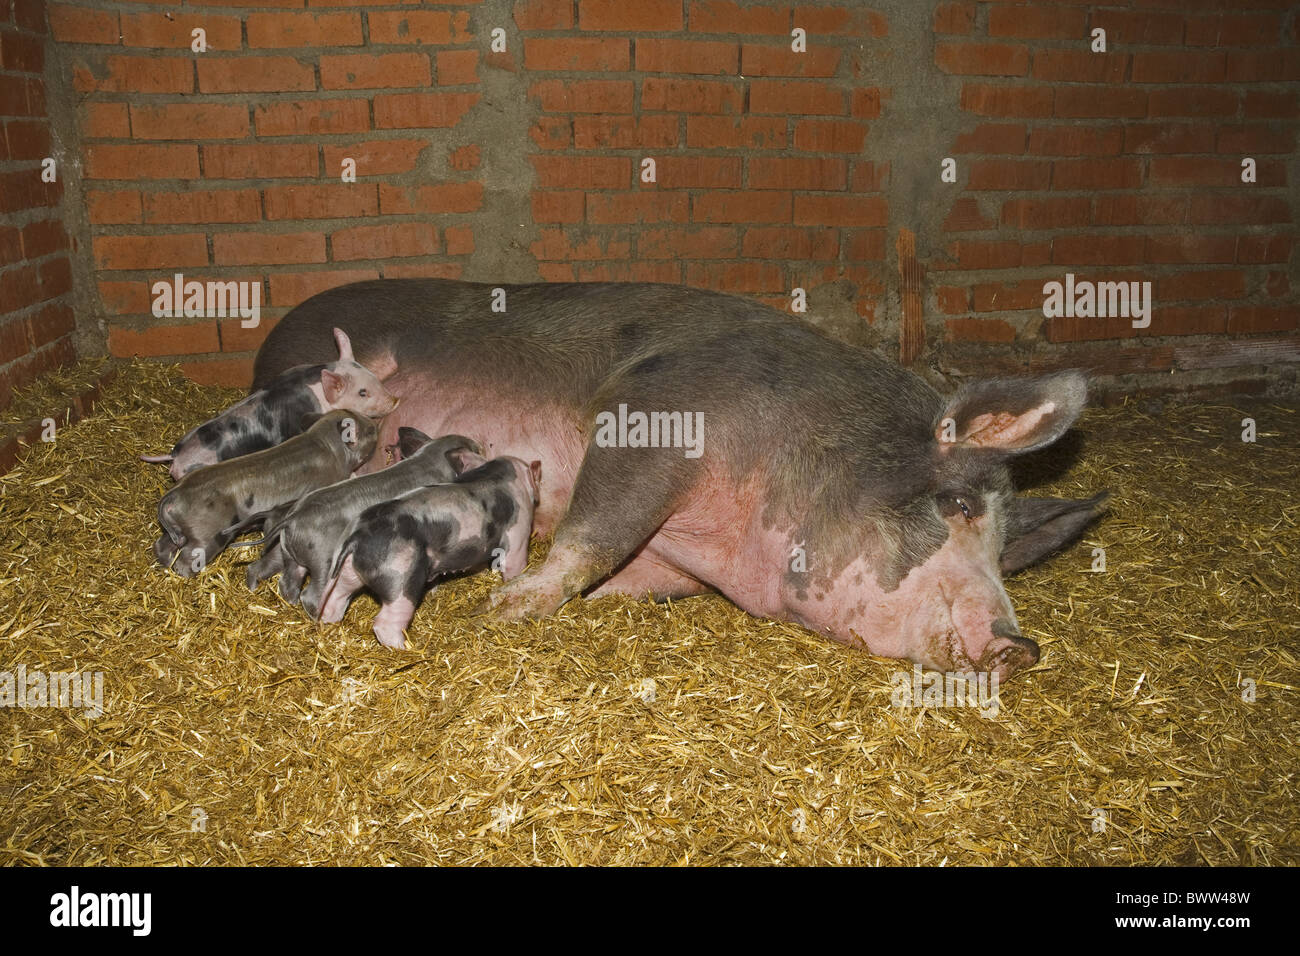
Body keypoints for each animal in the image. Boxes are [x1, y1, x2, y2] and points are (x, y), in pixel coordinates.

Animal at [154, 409, 378, 577]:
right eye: (368, 431)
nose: (375, 424)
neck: (328, 447)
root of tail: (175, 493)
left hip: (179, 530)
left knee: (163, 545)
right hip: (206, 534)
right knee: (187, 559)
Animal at [238, 428, 483, 618]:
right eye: (477, 449)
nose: (482, 448)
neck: (431, 461)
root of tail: (294, 517)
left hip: (290, 555)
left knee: (283, 581)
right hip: (323, 560)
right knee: (311, 595)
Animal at [316, 454, 541, 649]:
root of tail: (356, 536)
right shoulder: (518, 532)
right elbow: (514, 564)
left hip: (349, 572)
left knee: (336, 598)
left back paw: (329, 626)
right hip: (401, 577)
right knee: (385, 623)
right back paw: (407, 649)